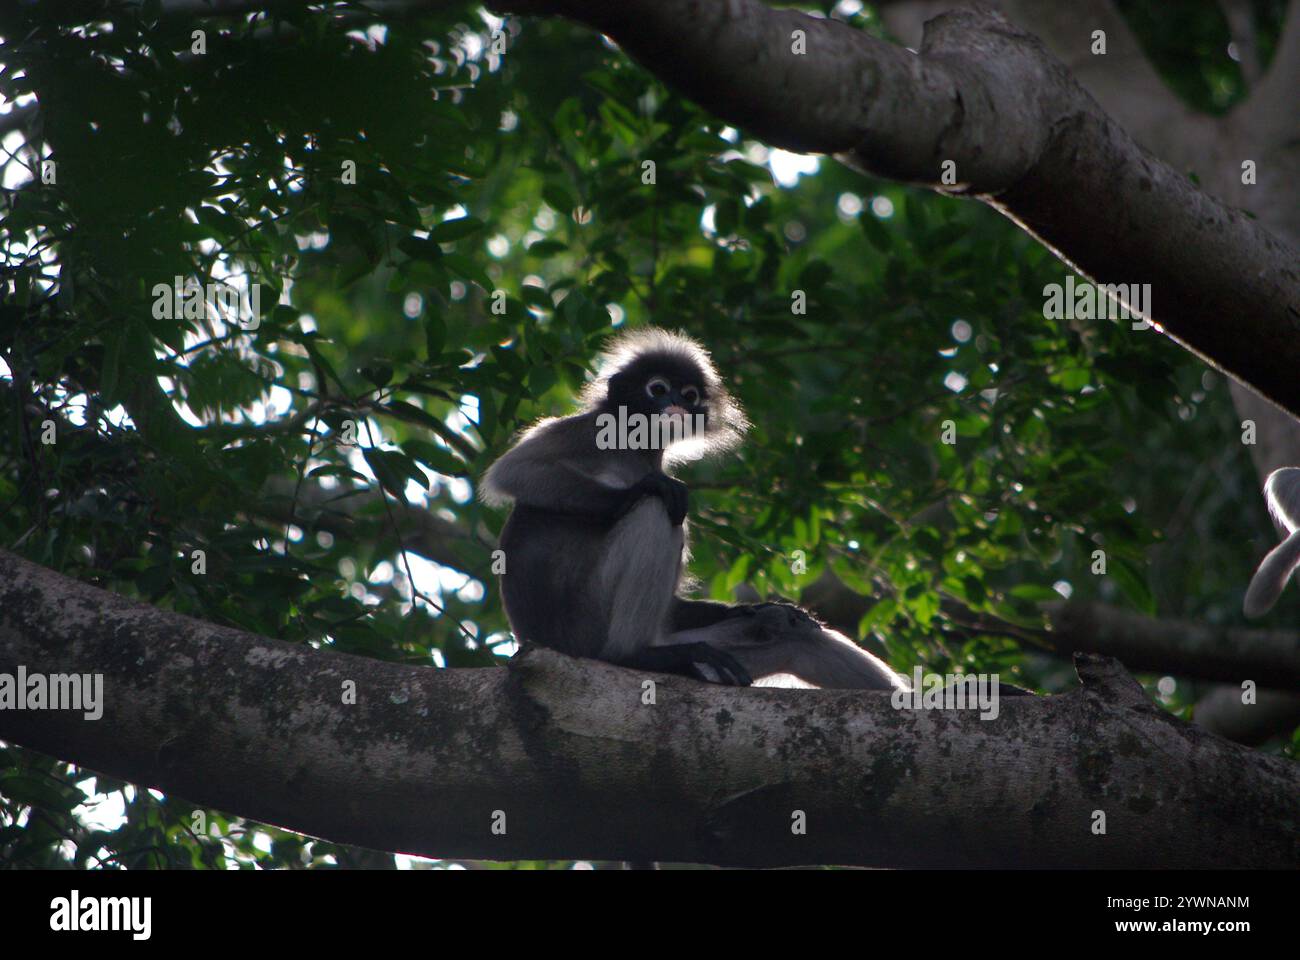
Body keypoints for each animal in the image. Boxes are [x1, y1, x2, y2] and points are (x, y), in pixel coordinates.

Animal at [480, 327, 907, 690]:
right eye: (657, 388)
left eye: (688, 395)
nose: (674, 405)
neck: (633, 451)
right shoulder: (589, 431)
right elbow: (512, 472)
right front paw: (651, 484)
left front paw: (764, 608)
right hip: (586, 629)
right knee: (657, 510)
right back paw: (633, 654)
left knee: (792, 639)